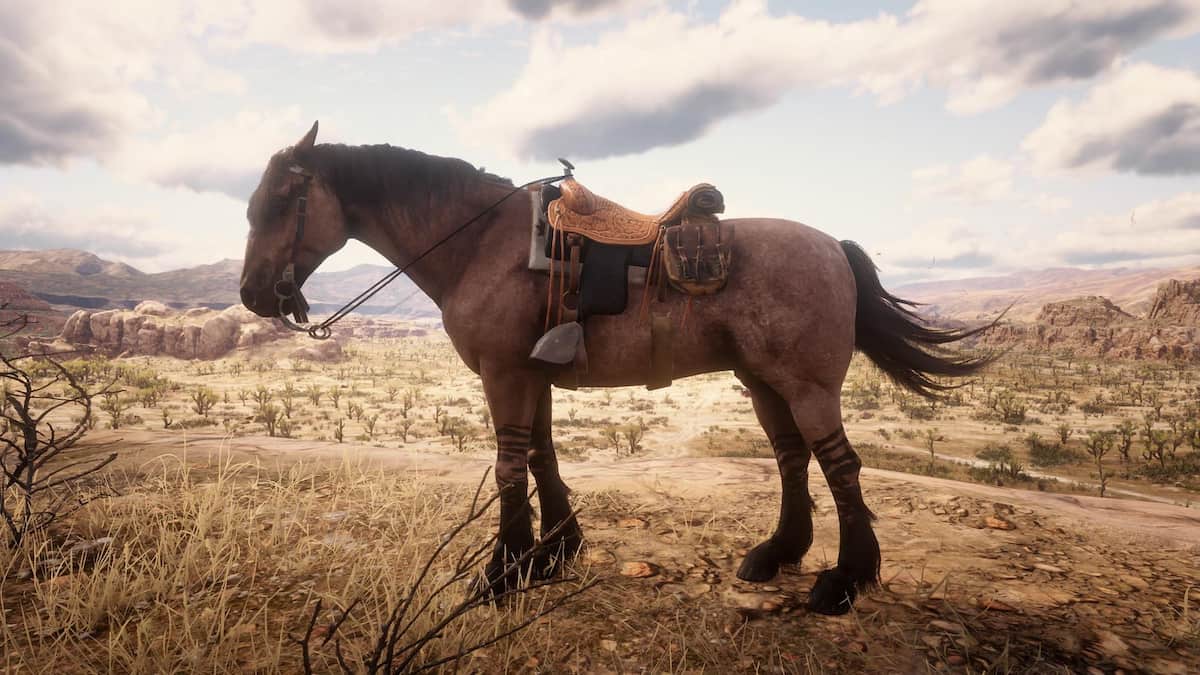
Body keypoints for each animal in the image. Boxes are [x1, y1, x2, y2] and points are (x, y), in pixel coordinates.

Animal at [239, 122, 995, 615]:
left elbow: (510, 465)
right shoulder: (530, 374)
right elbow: (540, 456)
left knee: (840, 465)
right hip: (763, 383)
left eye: (276, 204)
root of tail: (834, 246)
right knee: (791, 458)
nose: (251, 295)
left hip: (806, 384)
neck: (481, 243)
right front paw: (554, 552)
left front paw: (503, 571)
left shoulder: (504, 374)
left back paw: (846, 579)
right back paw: (778, 553)